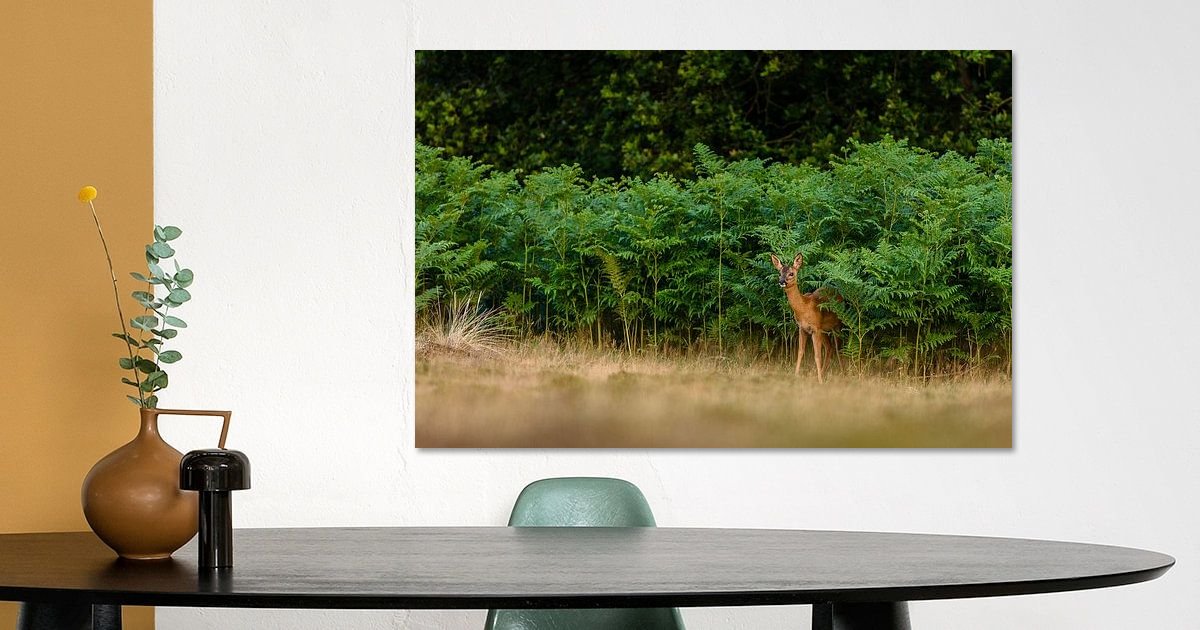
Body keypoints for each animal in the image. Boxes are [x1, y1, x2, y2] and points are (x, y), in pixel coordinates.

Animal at [770, 252, 842, 383]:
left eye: (791, 273)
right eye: (779, 273)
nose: (782, 281)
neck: (804, 308)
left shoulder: (815, 328)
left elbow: (817, 355)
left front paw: (820, 381)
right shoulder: (803, 328)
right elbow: (800, 352)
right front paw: (796, 376)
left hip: (837, 325)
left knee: (837, 348)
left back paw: (840, 372)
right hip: (823, 329)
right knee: (829, 347)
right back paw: (823, 372)